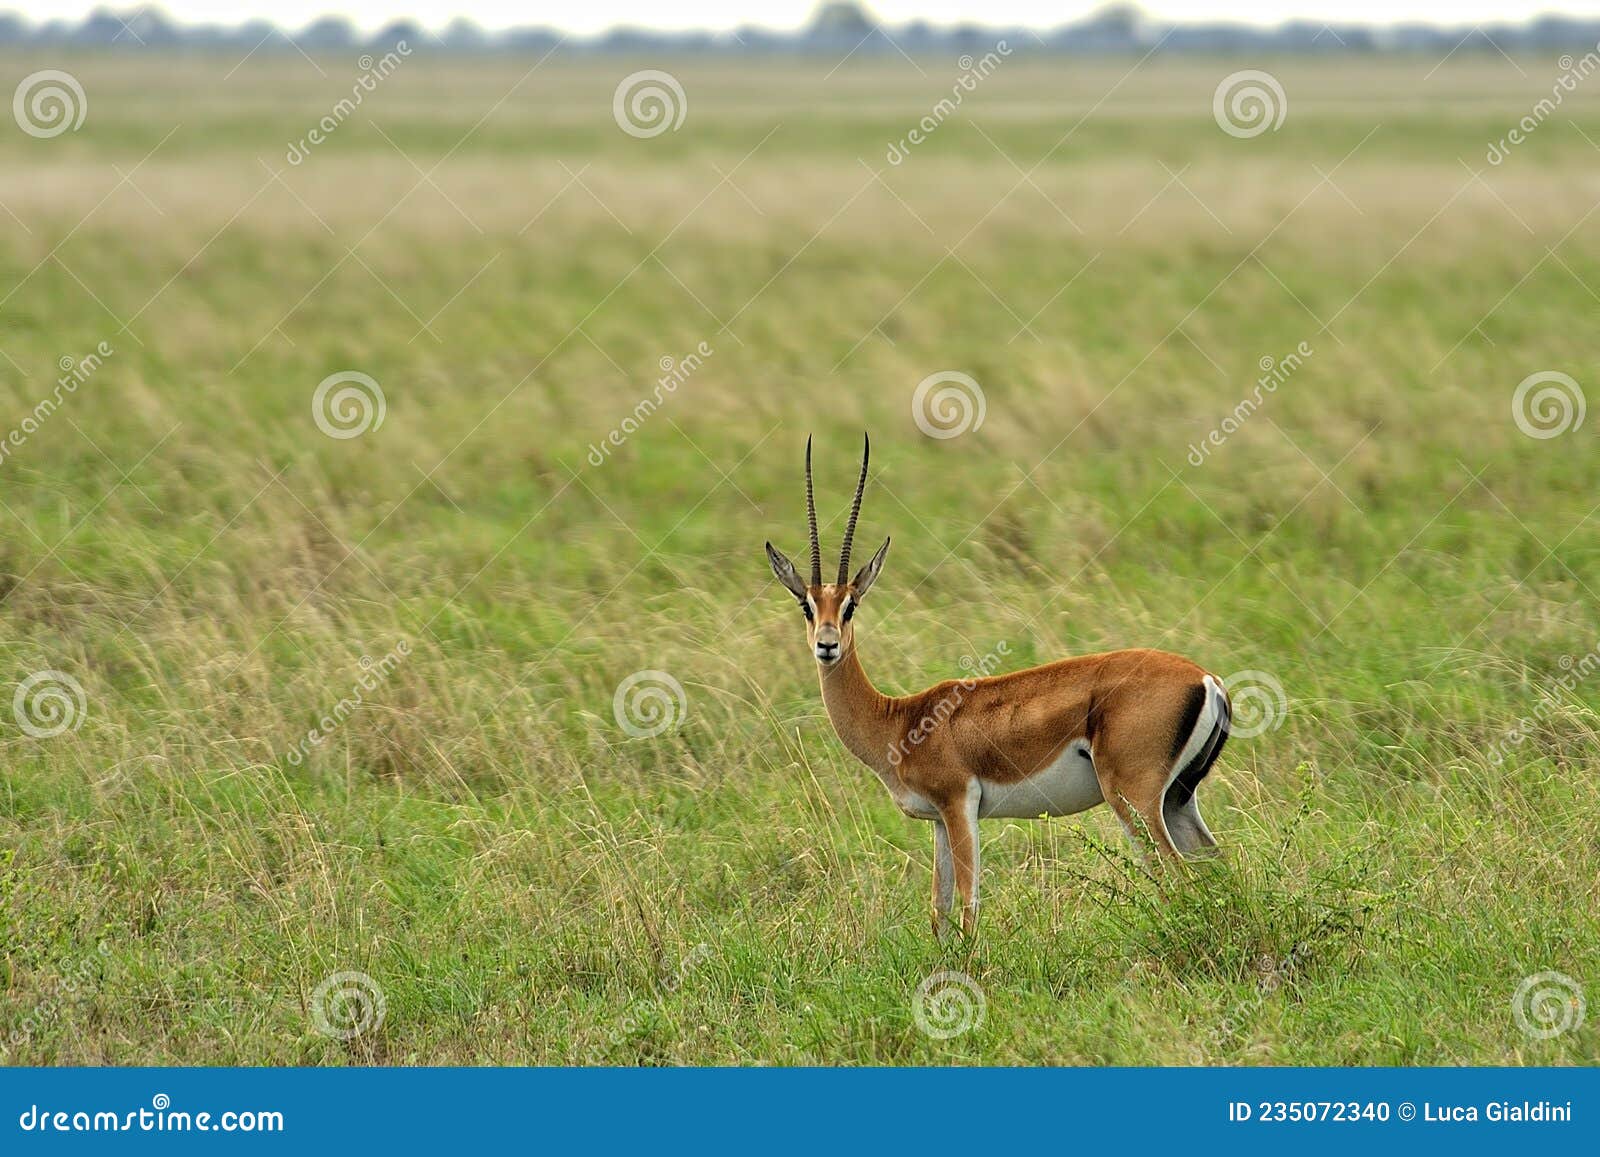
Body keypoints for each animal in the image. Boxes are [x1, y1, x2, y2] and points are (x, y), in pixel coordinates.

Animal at [765, 435, 1232, 937]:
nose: (827, 645)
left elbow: (969, 904)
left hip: (1134, 798)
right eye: (806, 605)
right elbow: (939, 909)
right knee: (1217, 867)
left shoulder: (959, 805)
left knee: (1176, 875)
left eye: (850, 605)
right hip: (1178, 800)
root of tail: (1207, 679)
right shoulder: (937, 822)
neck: (901, 721)